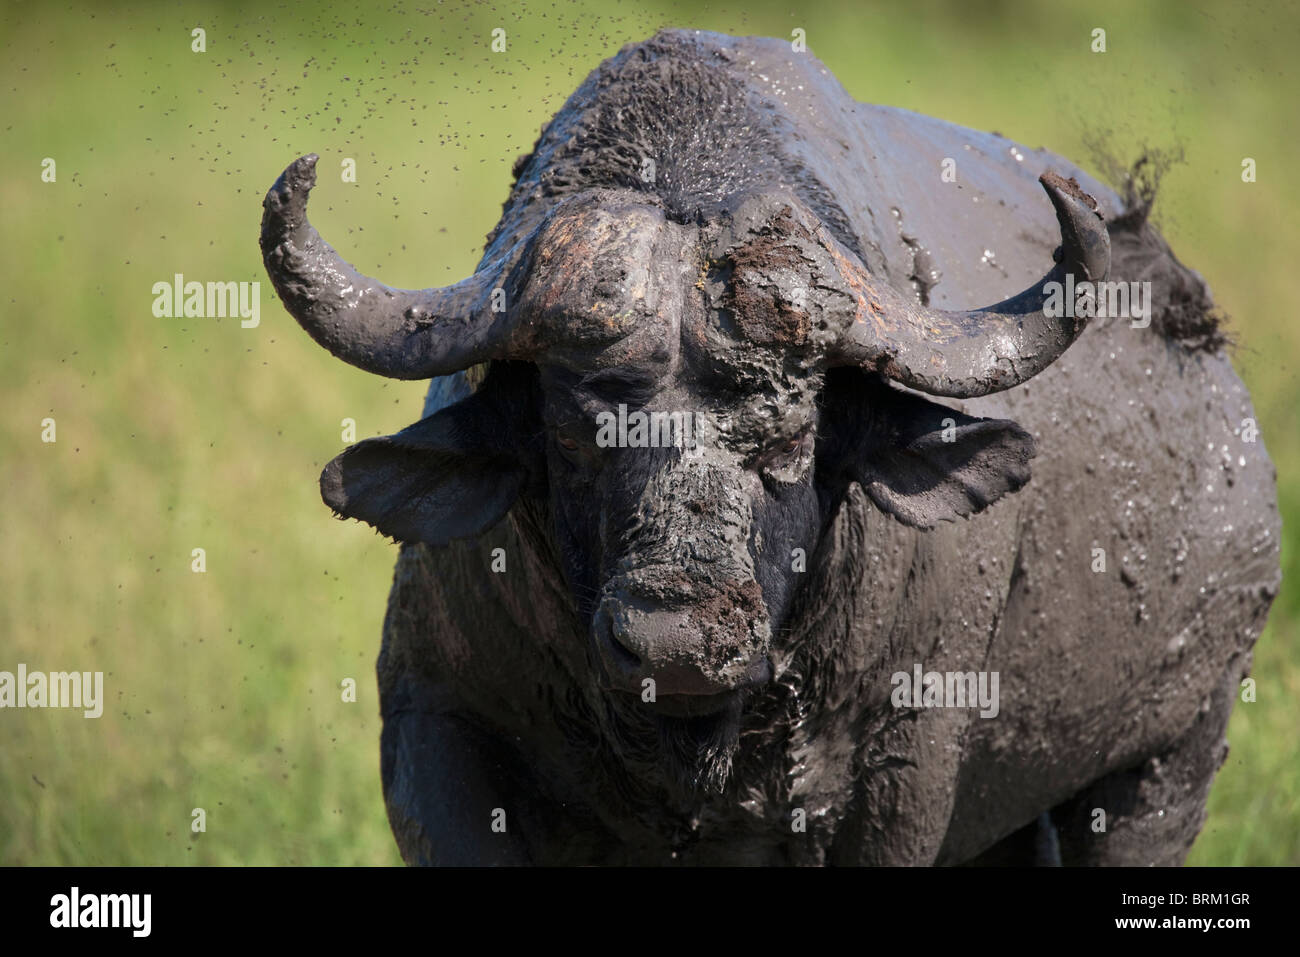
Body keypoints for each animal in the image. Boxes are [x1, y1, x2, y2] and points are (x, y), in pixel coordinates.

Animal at [260, 29, 1280, 865]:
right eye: (572, 430)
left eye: (793, 433)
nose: (678, 643)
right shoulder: (436, 725)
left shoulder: (906, 769)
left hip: (1170, 761)